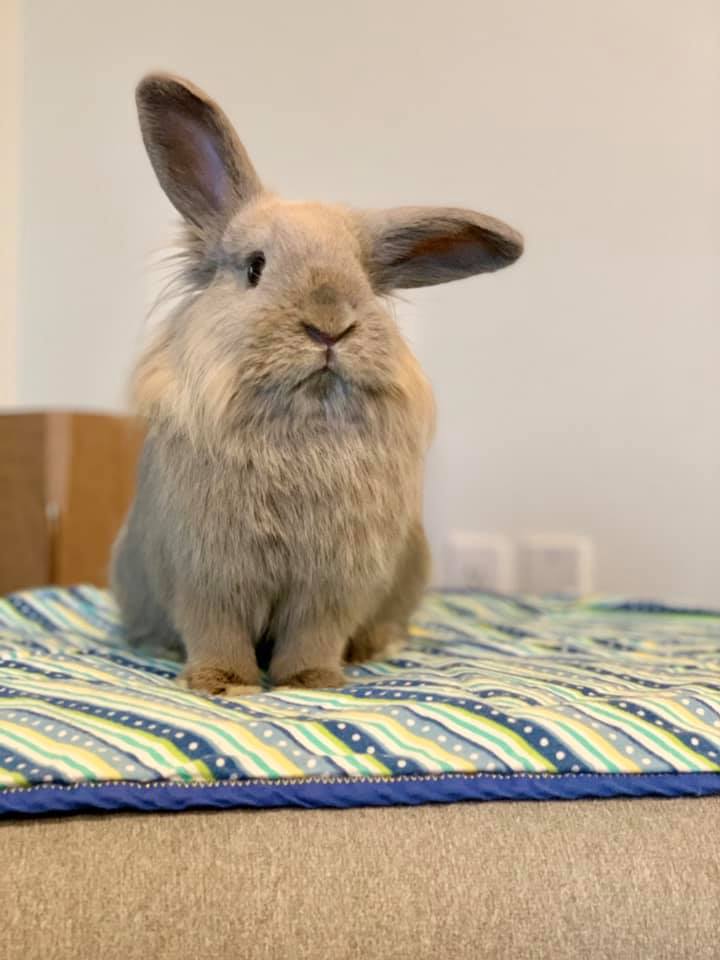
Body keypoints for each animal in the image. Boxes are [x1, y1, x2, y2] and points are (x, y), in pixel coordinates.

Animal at [111, 73, 523, 696]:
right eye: (255, 267)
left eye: (365, 281)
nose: (329, 326)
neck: (301, 422)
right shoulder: (208, 576)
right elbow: (216, 634)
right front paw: (222, 684)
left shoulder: (331, 588)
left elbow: (313, 637)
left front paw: (311, 683)